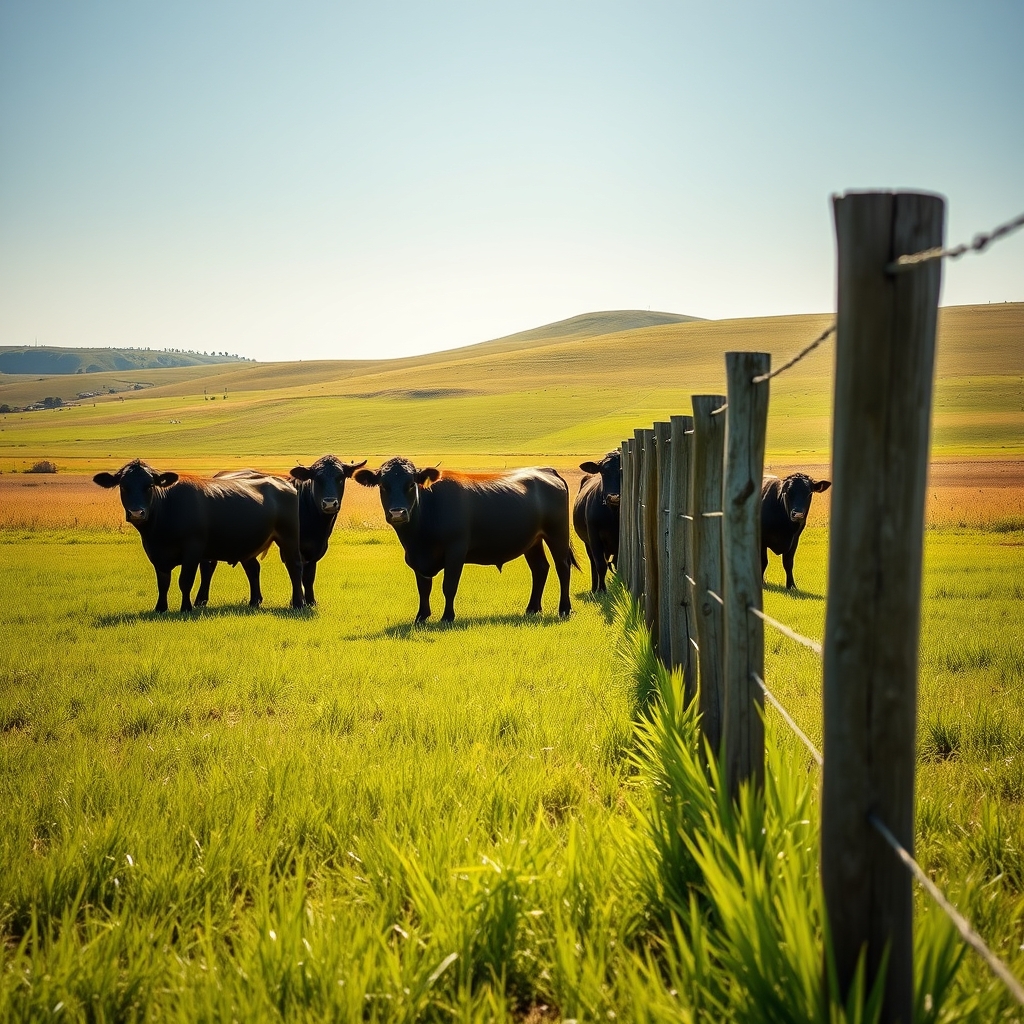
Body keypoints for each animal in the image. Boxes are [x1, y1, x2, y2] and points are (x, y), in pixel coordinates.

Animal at [93, 460, 304, 612]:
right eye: (123, 486)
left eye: (149, 485)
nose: (137, 513)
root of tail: (283, 483)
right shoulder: (155, 553)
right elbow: (163, 582)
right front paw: (160, 608)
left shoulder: (193, 549)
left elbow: (185, 580)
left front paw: (186, 608)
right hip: (246, 544)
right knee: (253, 568)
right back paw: (254, 602)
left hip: (289, 538)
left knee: (294, 567)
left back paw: (298, 603)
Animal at [289, 455, 367, 604]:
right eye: (317, 478)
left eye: (340, 477)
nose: (330, 503)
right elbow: (296, 574)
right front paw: (297, 602)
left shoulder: (315, 551)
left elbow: (309, 577)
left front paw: (311, 601)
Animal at [354, 458, 579, 623]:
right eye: (383, 485)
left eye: (411, 484)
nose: (397, 513)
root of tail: (546, 470)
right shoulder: (417, 557)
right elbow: (423, 587)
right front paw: (421, 617)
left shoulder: (456, 550)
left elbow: (449, 585)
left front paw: (447, 617)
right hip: (532, 541)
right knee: (540, 568)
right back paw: (532, 609)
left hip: (557, 533)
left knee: (562, 567)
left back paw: (564, 609)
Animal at [573, 451, 621, 593]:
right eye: (603, 472)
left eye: (622, 470)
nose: (614, 497)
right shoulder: (594, 537)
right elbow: (600, 565)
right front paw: (602, 590)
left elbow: (616, 562)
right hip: (588, 543)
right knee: (594, 563)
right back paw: (594, 588)